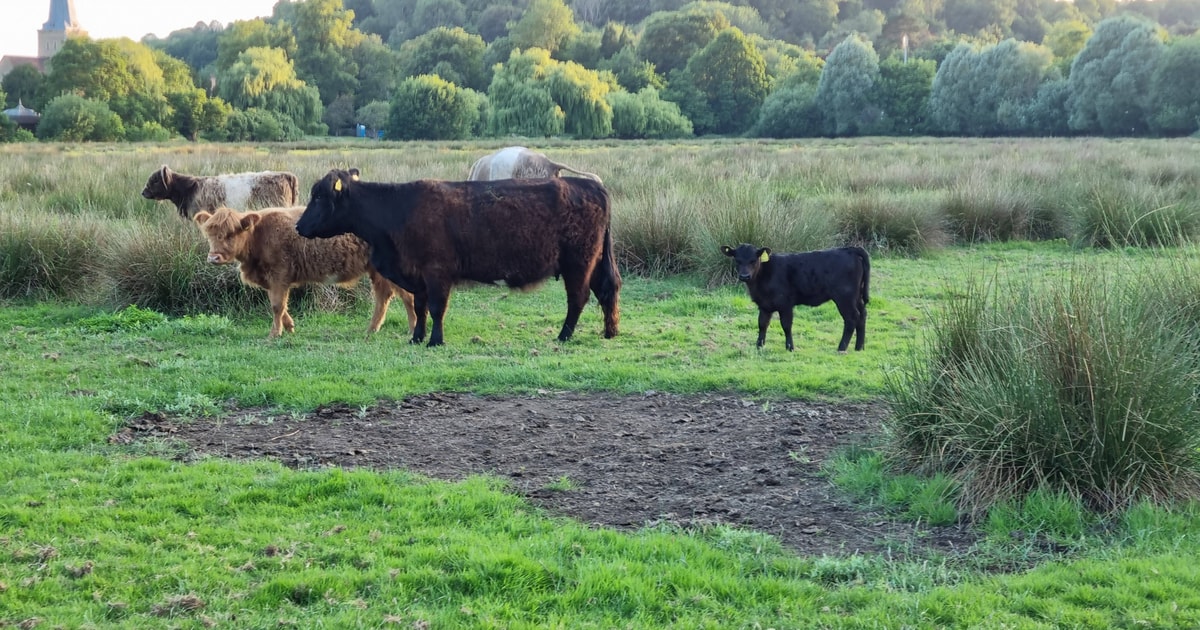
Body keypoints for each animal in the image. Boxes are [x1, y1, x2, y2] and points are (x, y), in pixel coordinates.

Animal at [192, 206, 417, 339]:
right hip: (378, 272)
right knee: (384, 297)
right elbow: (279, 306)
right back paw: (372, 330)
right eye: (209, 234)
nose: (213, 258)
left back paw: (412, 328)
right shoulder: (271, 280)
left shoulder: (279, 275)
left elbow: (277, 306)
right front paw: (290, 327)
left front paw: (275, 334)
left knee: (406, 296)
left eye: (231, 234)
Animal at [295, 169, 621, 347]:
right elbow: (421, 308)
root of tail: (590, 185)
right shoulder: (418, 276)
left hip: (578, 263)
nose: (299, 226)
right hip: (593, 263)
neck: (398, 211)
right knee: (607, 289)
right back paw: (610, 331)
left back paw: (564, 335)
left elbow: (437, 308)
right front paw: (416, 337)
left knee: (578, 298)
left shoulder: (437, 272)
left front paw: (435, 341)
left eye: (320, 197)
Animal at [721, 243, 870, 353]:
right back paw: (859, 347)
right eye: (737, 260)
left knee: (852, 318)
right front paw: (759, 346)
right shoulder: (764, 305)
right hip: (857, 297)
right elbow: (762, 324)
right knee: (862, 315)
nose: (744, 276)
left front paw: (790, 347)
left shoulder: (785, 304)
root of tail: (850, 249)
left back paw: (841, 348)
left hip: (844, 297)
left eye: (753, 260)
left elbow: (786, 325)